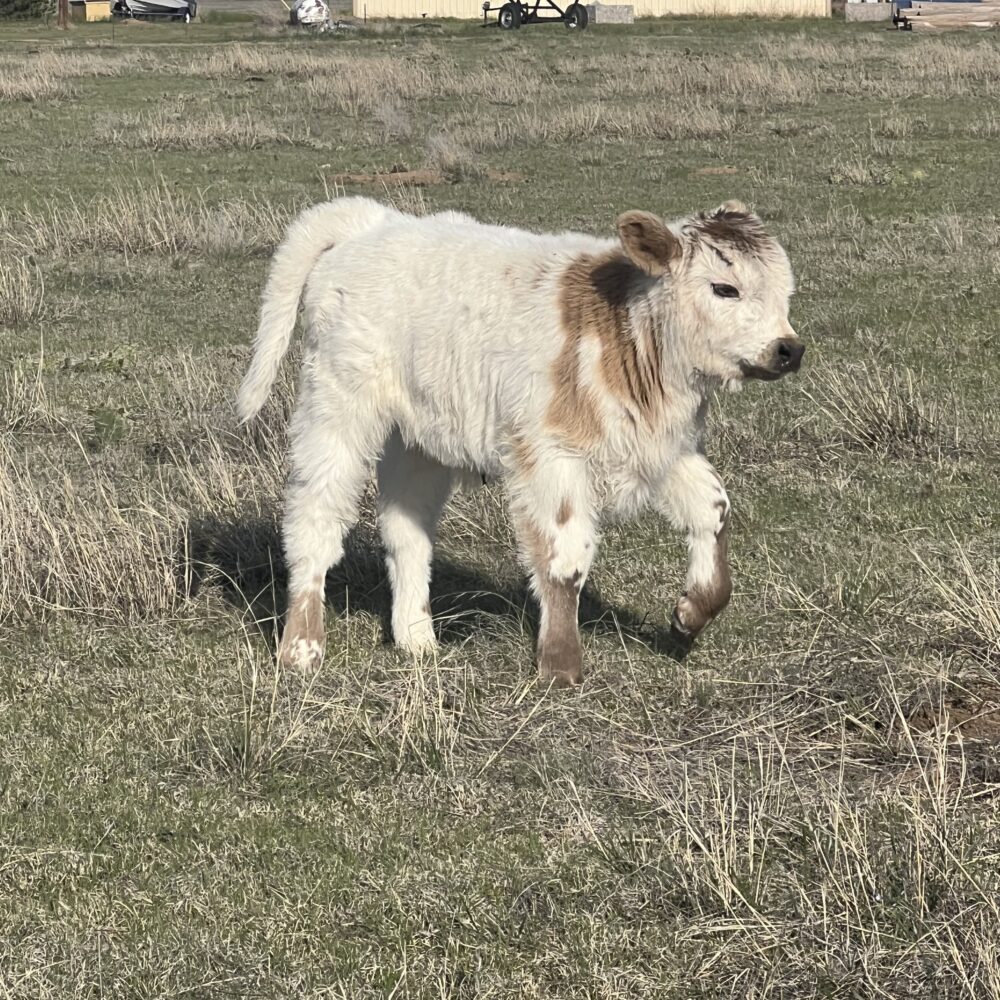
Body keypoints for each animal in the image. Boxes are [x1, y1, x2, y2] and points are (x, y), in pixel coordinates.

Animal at [238, 197, 803, 685]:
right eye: (724, 288)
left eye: (785, 292)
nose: (789, 349)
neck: (623, 335)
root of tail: (375, 221)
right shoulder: (551, 455)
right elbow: (564, 558)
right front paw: (560, 667)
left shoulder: (662, 448)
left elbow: (713, 510)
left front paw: (689, 616)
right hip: (337, 407)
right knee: (316, 516)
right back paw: (302, 648)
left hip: (417, 437)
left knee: (406, 529)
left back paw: (417, 639)